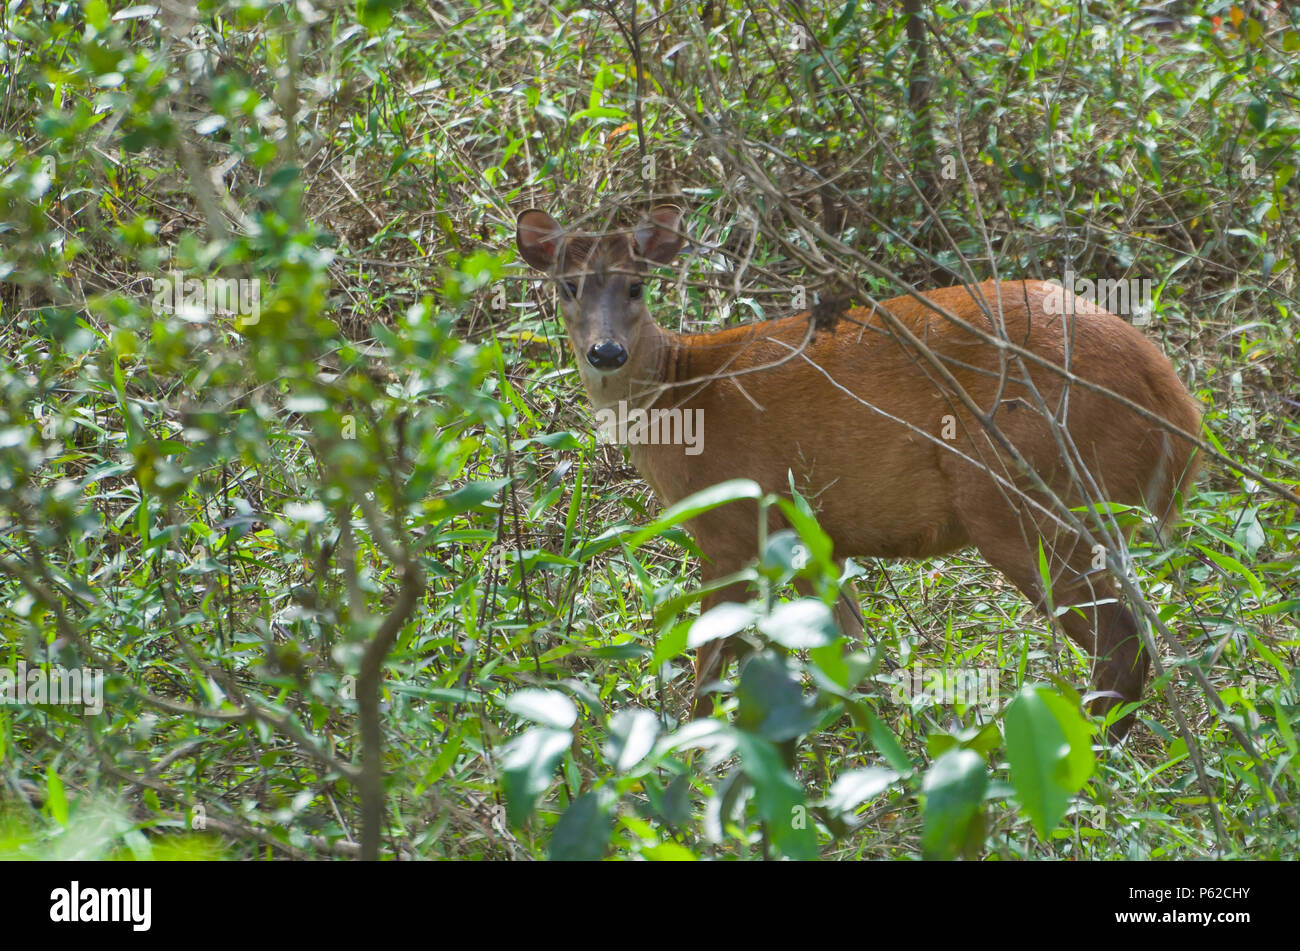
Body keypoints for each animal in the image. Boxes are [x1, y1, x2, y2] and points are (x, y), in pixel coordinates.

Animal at [515, 205, 1201, 738]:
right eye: (567, 286)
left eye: (636, 286)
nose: (606, 351)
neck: (682, 397)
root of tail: (1176, 404)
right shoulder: (813, 535)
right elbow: (853, 651)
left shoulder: (733, 526)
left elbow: (710, 662)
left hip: (1025, 500)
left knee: (1121, 646)